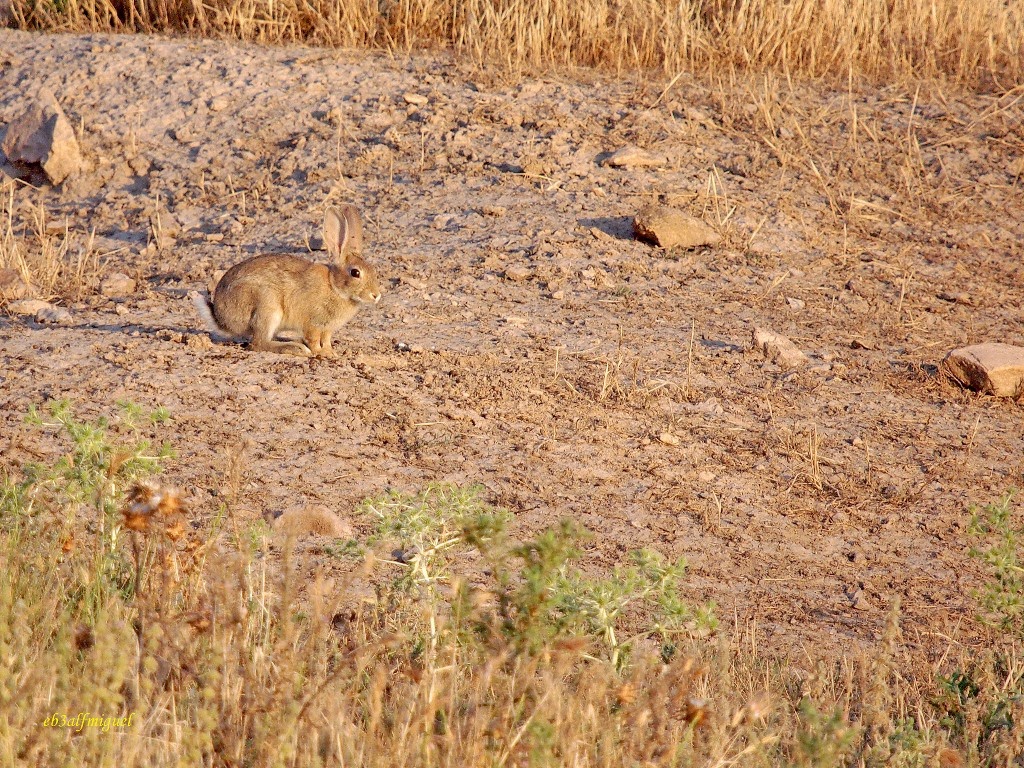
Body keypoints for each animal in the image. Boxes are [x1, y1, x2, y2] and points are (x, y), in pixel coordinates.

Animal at [192, 205, 382, 357]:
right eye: (355, 273)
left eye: (374, 270)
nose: (376, 295)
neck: (334, 287)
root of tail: (221, 318)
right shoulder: (311, 323)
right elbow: (313, 340)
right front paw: (320, 353)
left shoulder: (327, 329)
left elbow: (326, 340)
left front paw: (330, 353)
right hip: (266, 306)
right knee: (258, 343)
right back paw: (294, 348)